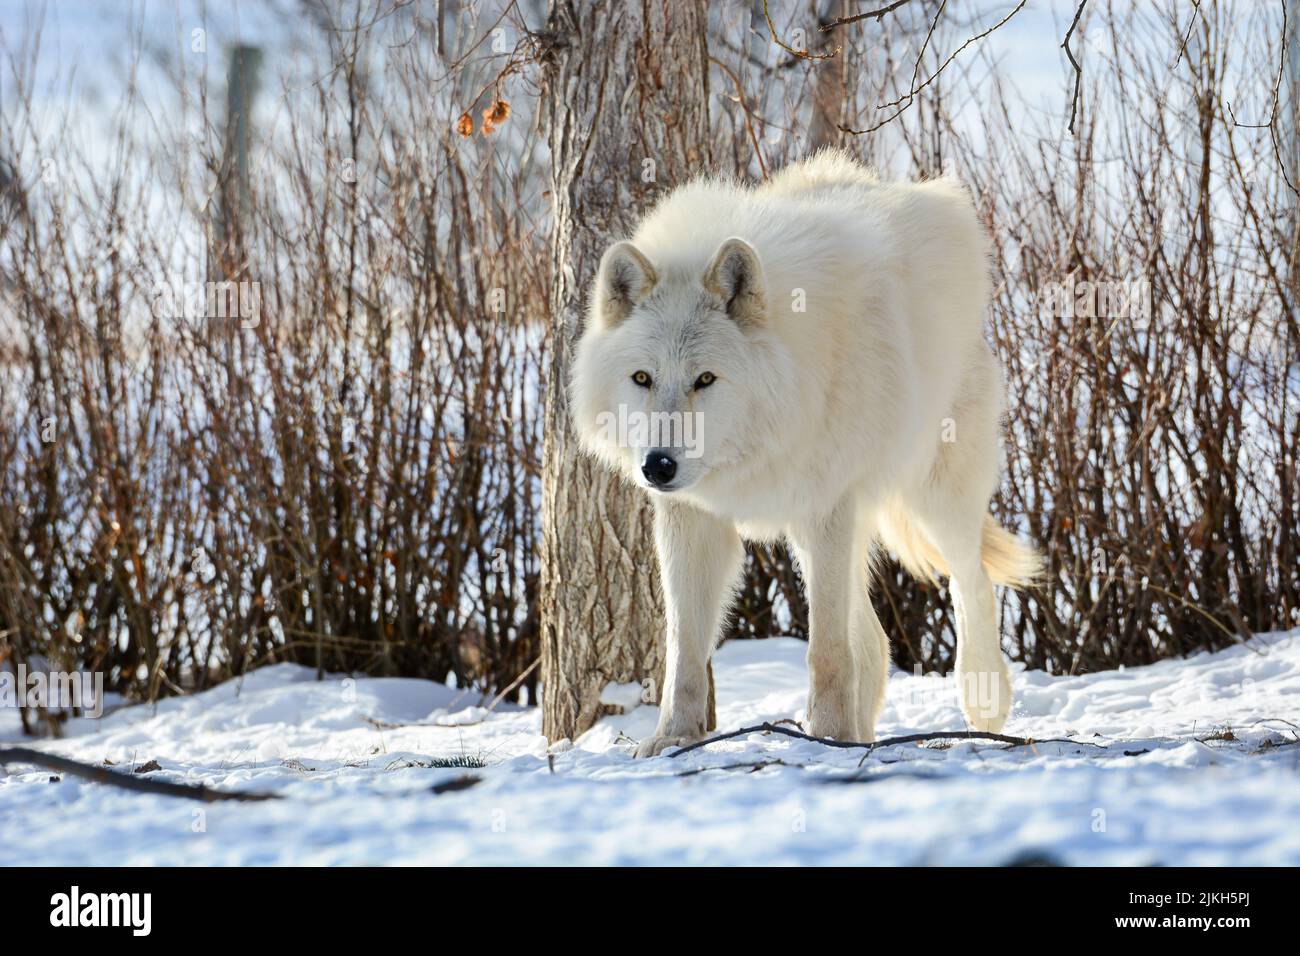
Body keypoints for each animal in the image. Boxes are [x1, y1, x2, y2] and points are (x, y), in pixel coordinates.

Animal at [570, 150, 1042, 757]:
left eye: (705, 379)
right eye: (642, 379)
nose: (658, 465)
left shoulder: (828, 507)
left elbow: (826, 651)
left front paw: (830, 738)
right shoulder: (691, 517)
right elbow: (684, 647)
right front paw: (673, 737)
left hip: (930, 501)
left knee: (971, 583)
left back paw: (982, 705)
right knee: (877, 642)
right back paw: (869, 732)